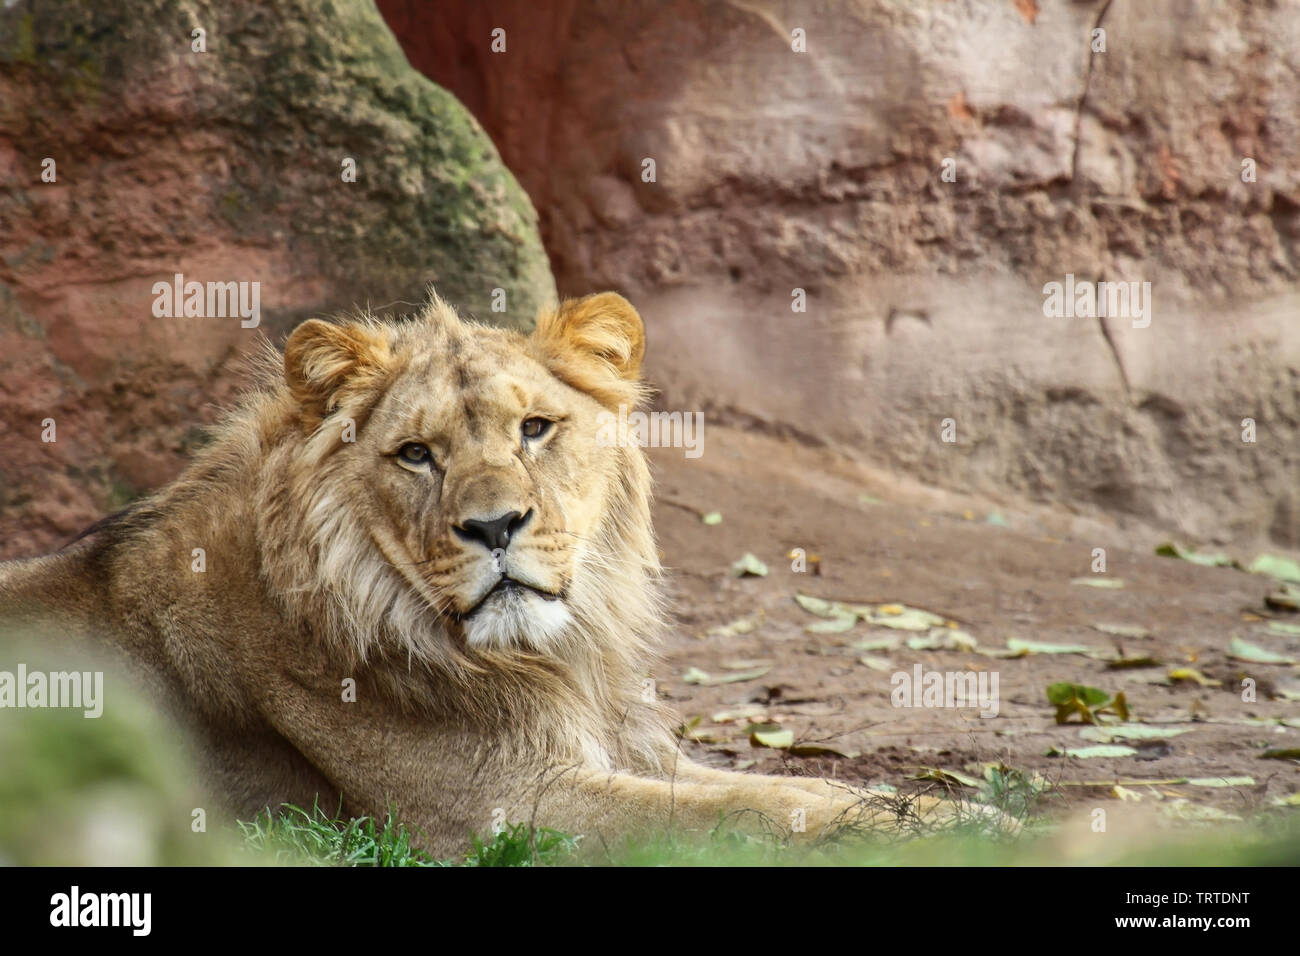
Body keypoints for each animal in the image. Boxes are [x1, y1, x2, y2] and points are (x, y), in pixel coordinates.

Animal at [0, 292, 954, 858]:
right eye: (417, 454)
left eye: (534, 429)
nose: (495, 526)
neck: (550, 658)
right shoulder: (503, 811)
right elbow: (744, 814)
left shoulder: (628, 752)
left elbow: (800, 786)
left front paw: (950, 813)